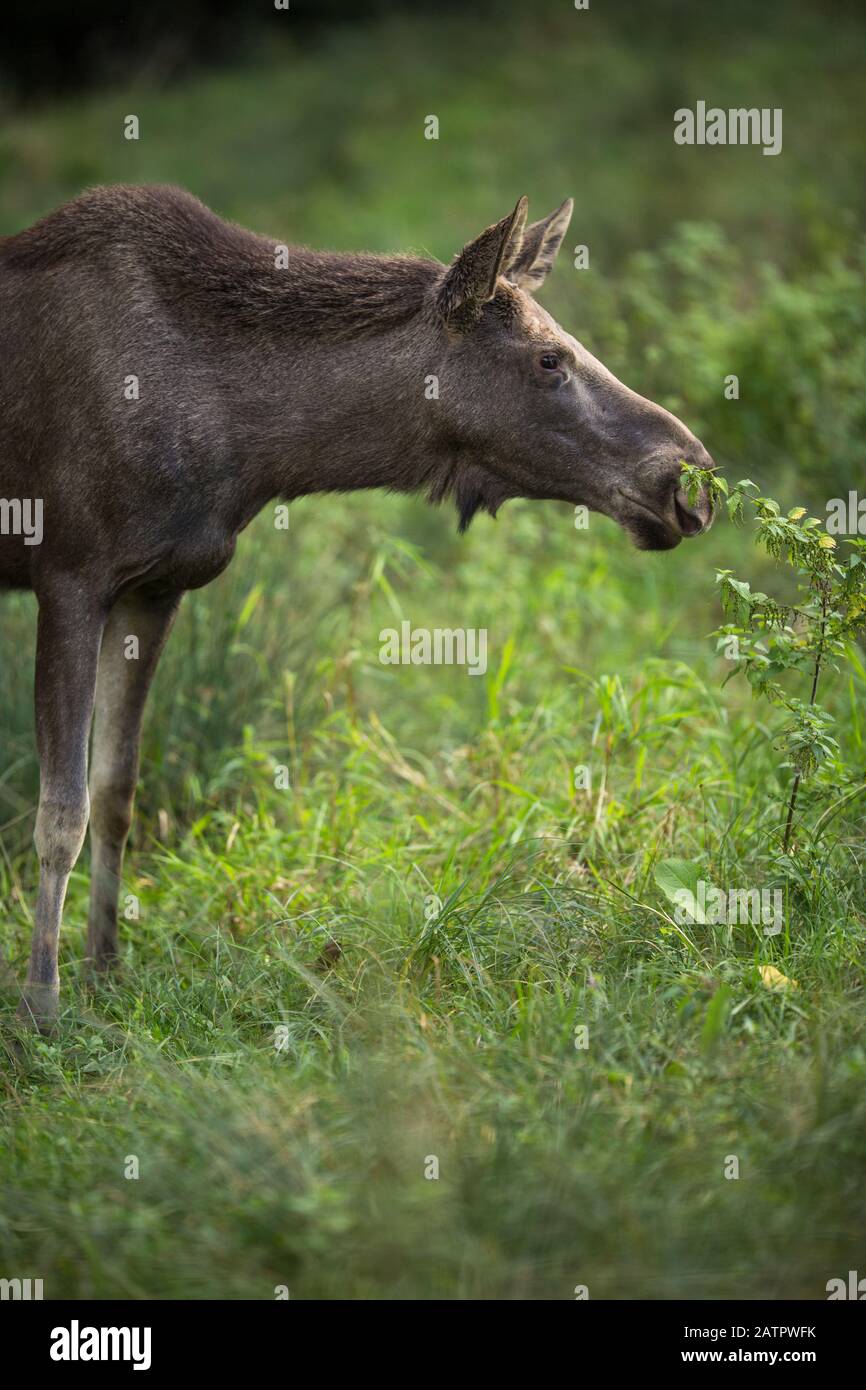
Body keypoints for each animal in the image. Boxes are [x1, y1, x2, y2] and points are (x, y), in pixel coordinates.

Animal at [0, 186, 714, 1027]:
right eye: (550, 359)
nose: (690, 477)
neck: (251, 452)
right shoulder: (69, 572)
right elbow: (60, 814)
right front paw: (41, 1006)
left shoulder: (156, 587)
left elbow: (116, 791)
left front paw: (105, 974)